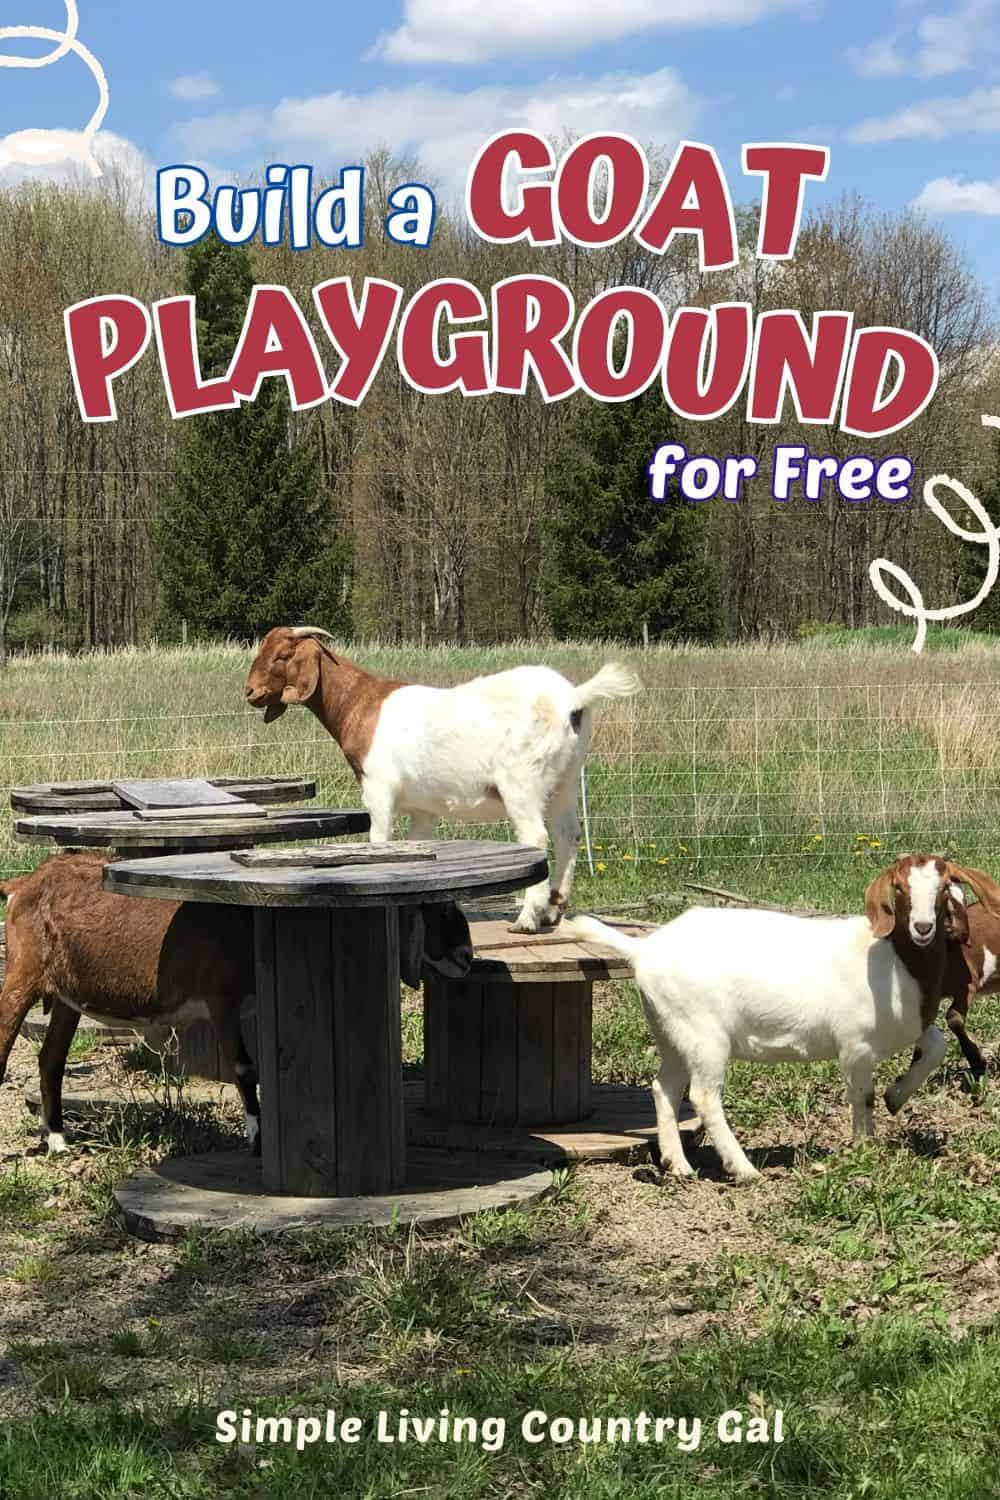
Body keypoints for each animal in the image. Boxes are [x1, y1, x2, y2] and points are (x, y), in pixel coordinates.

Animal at [0, 851, 473, 1155]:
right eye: (433, 908)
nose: (466, 957)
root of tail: (23, 883)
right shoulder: (221, 998)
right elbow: (244, 1067)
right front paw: (257, 1138)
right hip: (23, 974)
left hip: (66, 995)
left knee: (50, 1059)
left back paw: (57, 1139)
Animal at [245, 625, 641, 932]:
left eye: (282, 655)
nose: (250, 692)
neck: (359, 704)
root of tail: (572, 697)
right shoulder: (423, 808)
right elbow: (417, 844)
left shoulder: (378, 789)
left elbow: (379, 840)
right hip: (565, 780)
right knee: (567, 834)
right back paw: (553, 911)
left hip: (523, 781)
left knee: (536, 837)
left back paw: (528, 918)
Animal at [562, 856, 1000, 1182]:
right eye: (901, 889)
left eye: (944, 889)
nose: (924, 927)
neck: (894, 960)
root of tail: (644, 949)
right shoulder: (855, 1044)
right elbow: (863, 1096)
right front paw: (864, 1147)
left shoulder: (911, 1023)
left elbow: (936, 1045)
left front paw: (897, 1095)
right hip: (704, 1034)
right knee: (703, 1096)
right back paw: (743, 1168)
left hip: (671, 1028)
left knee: (663, 1087)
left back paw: (678, 1165)